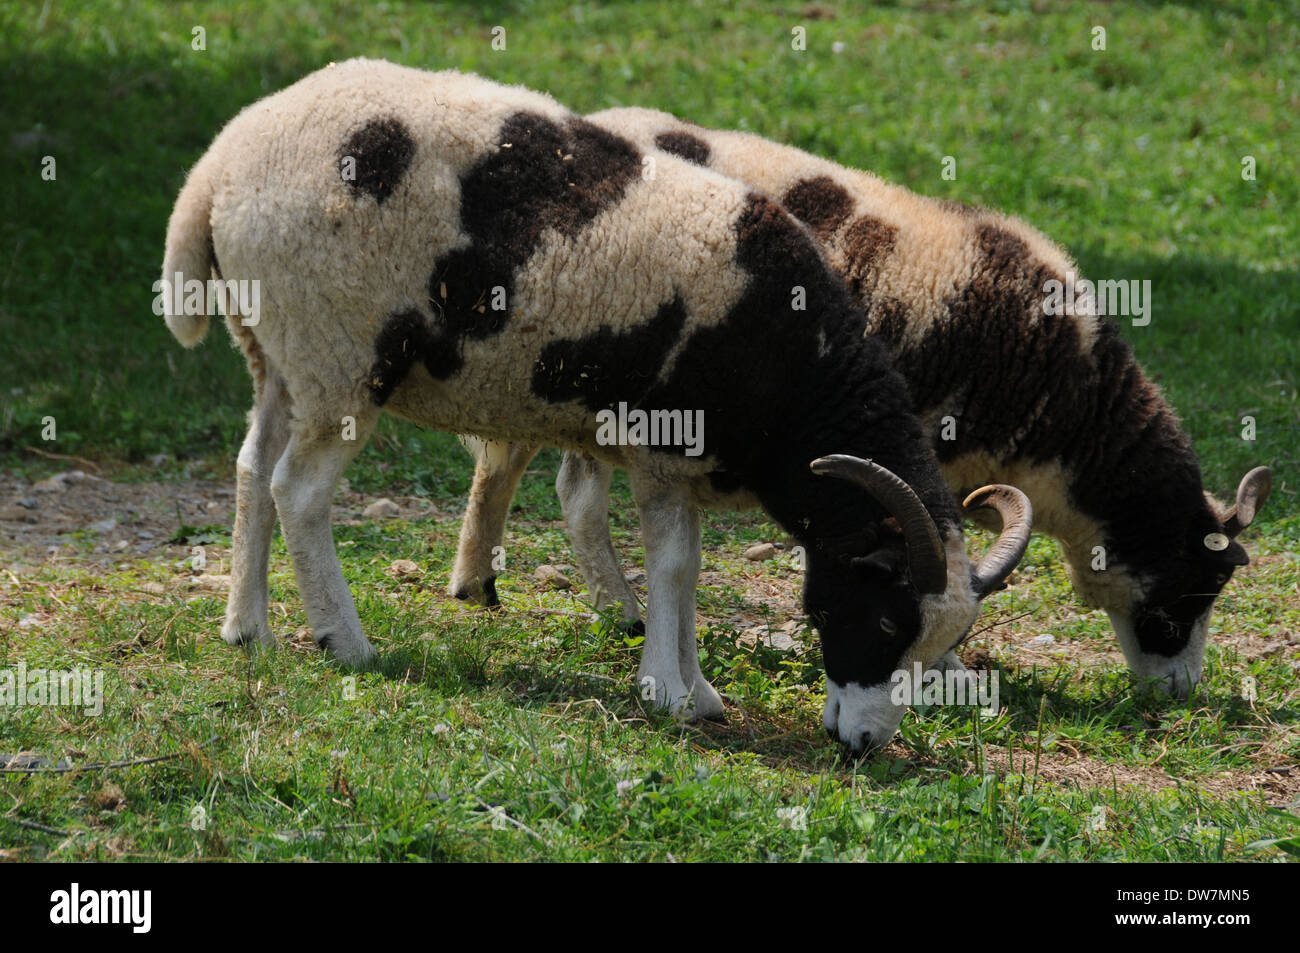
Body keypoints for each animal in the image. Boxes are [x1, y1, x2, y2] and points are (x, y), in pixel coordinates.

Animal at [160, 58, 1034, 754]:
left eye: (947, 639)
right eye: (885, 621)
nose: (864, 743)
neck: (798, 375)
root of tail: (217, 169)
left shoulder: (686, 465)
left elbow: (688, 569)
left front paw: (698, 691)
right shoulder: (664, 446)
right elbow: (673, 566)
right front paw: (670, 692)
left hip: (277, 352)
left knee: (251, 468)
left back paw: (247, 627)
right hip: (339, 352)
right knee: (298, 488)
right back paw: (345, 640)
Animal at [453, 105, 1272, 700]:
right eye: (1190, 587)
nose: (1180, 695)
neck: (1064, 414)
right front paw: (946, 670)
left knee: (568, 484)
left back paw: (597, 605)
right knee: (518, 465)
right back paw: (492, 585)